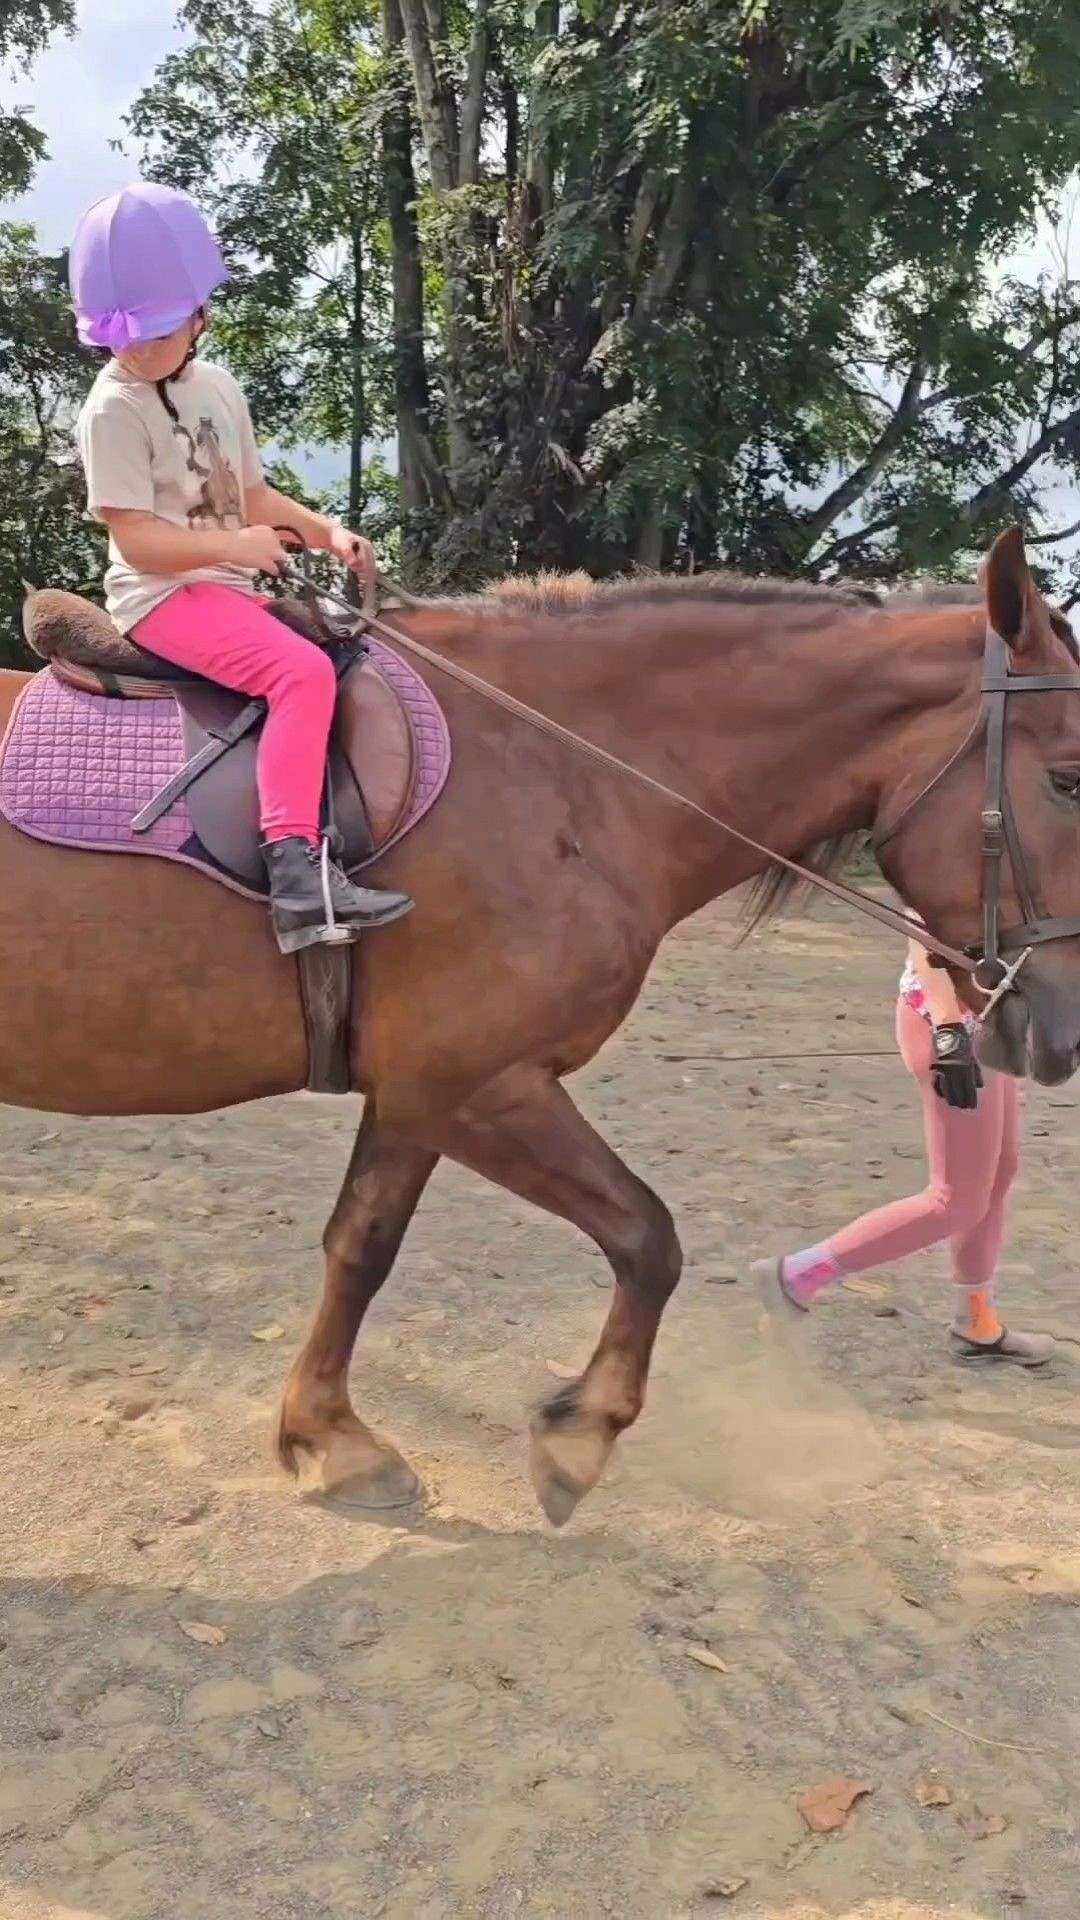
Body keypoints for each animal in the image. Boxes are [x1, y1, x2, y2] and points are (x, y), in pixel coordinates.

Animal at [3, 527, 1080, 1524]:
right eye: (1070, 779)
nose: (1062, 1033)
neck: (562, 772)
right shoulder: (481, 1085)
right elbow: (649, 1236)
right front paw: (581, 1431)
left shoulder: (419, 1094)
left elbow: (362, 1244)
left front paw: (330, 1437)